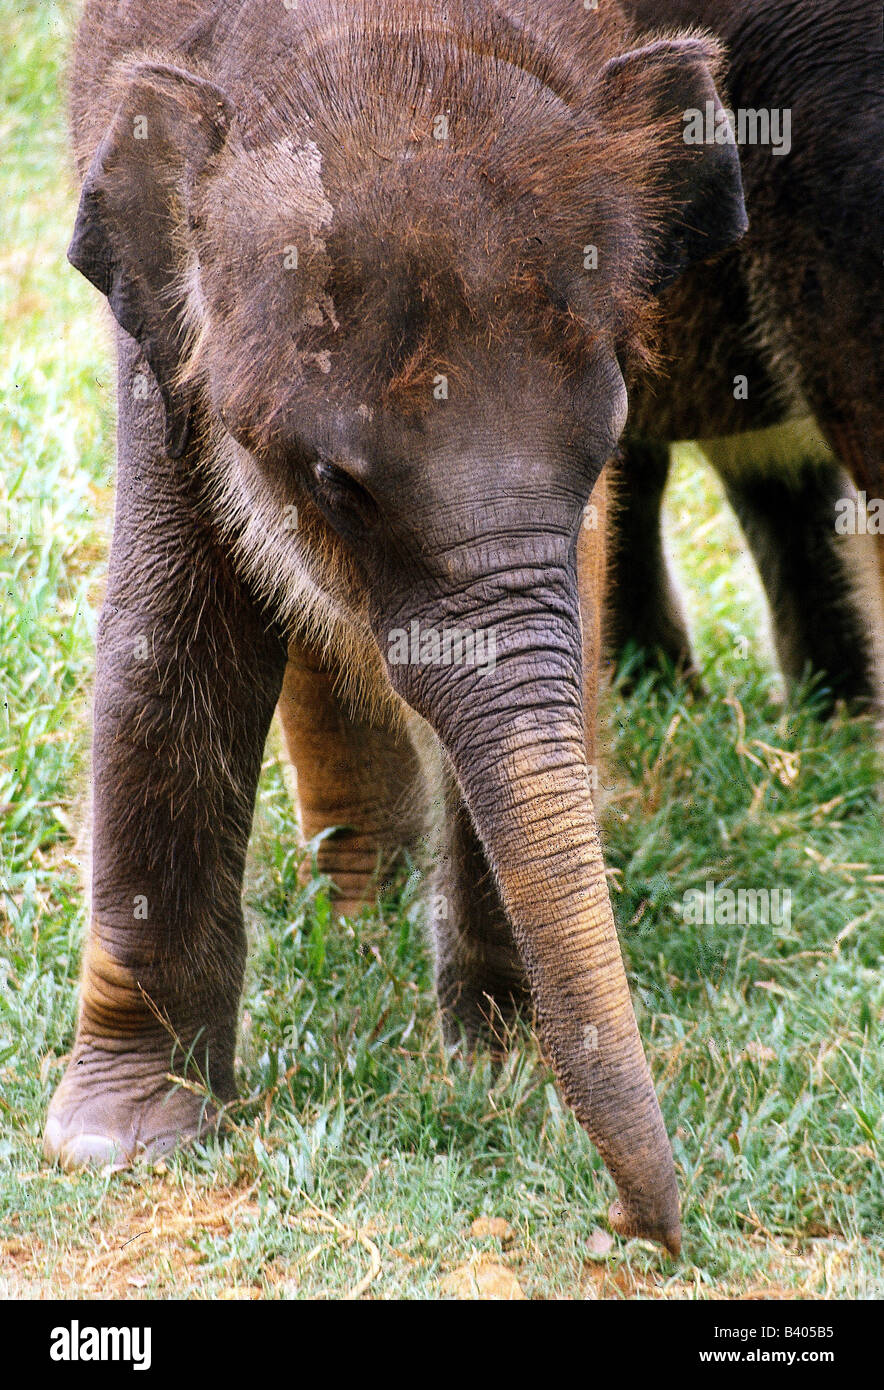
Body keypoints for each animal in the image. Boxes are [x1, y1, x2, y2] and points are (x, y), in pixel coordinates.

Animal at [43, 0, 750, 1258]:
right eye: (334, 480)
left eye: (604, 437)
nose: (628, 1227)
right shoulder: (161, 329)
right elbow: (169, 638)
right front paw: (118, 1138)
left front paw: (500, 1061)